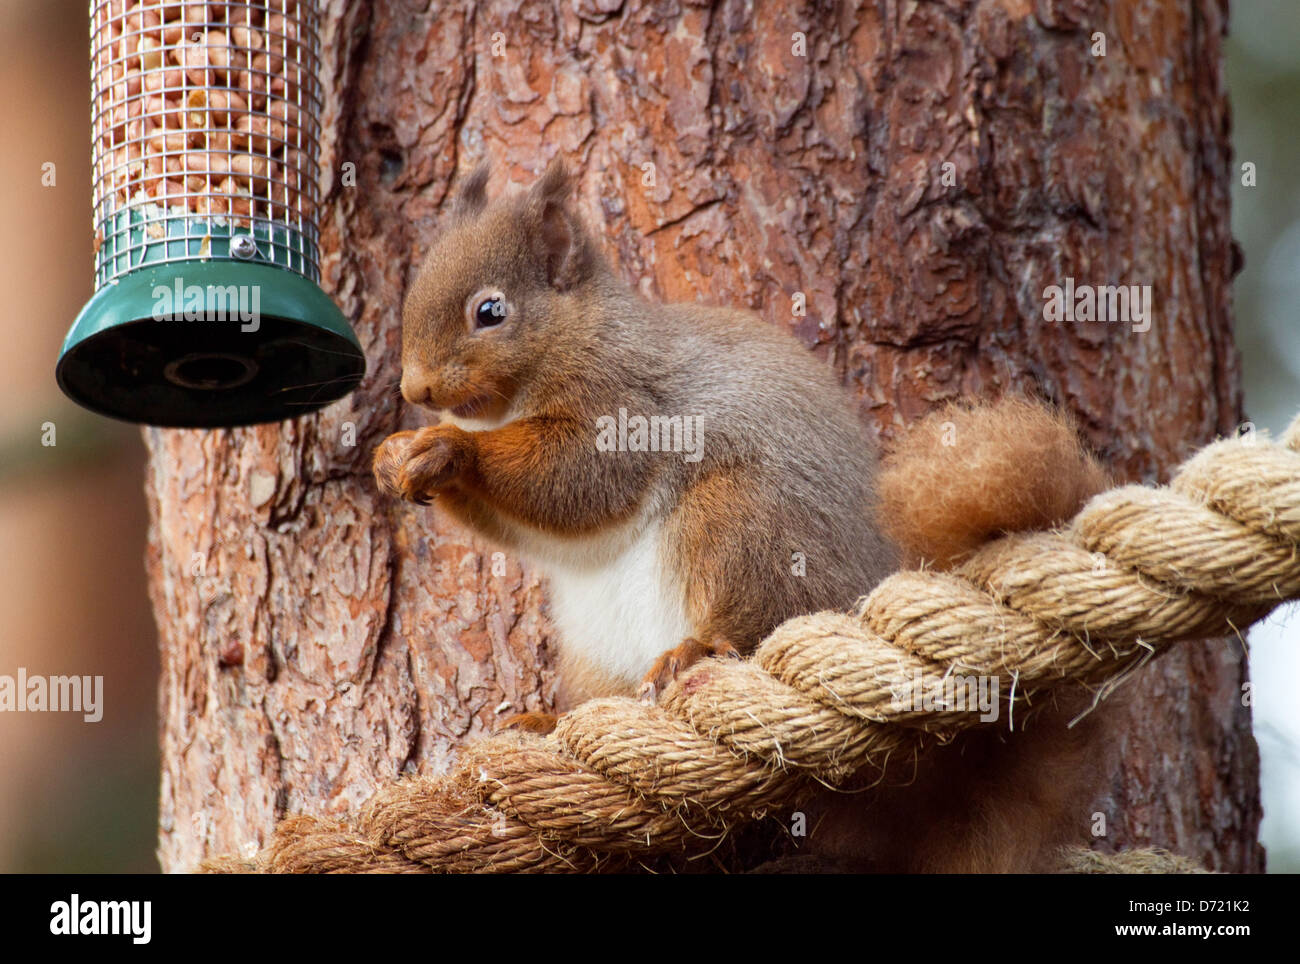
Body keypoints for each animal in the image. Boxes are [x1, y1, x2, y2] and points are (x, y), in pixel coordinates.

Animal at [373, 160, 1117, 872]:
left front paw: (450, 448)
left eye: (491, 311)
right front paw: (392, 456)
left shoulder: (624, 408)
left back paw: (698, 649)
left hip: (737, 523)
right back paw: (550, 723)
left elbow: (574, 480)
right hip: (597, 642)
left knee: (746, 620)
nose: (417, 389)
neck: (570, 339)